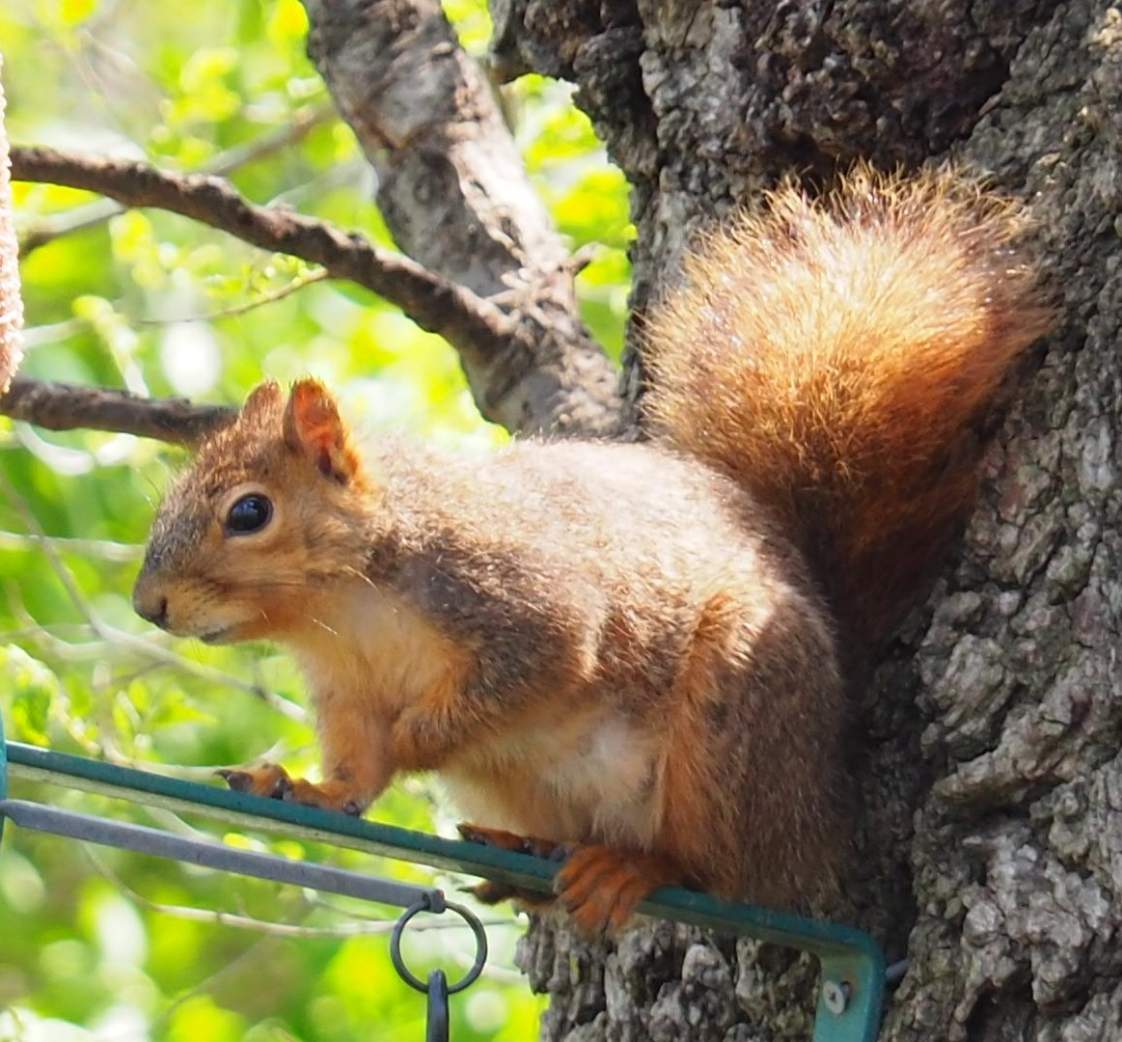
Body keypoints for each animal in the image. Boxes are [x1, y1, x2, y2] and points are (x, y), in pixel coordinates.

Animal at [132, 166, 1052, 934]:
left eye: (250, 512)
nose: (151, 605)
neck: (344, 606)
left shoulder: (517, 600)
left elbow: (520, 674)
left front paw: (416, 741)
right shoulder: (345, 691)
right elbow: (357, 771)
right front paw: (303, 786)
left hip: (735, 717)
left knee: (727, 873)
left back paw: (635, 869)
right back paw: (525, 857)